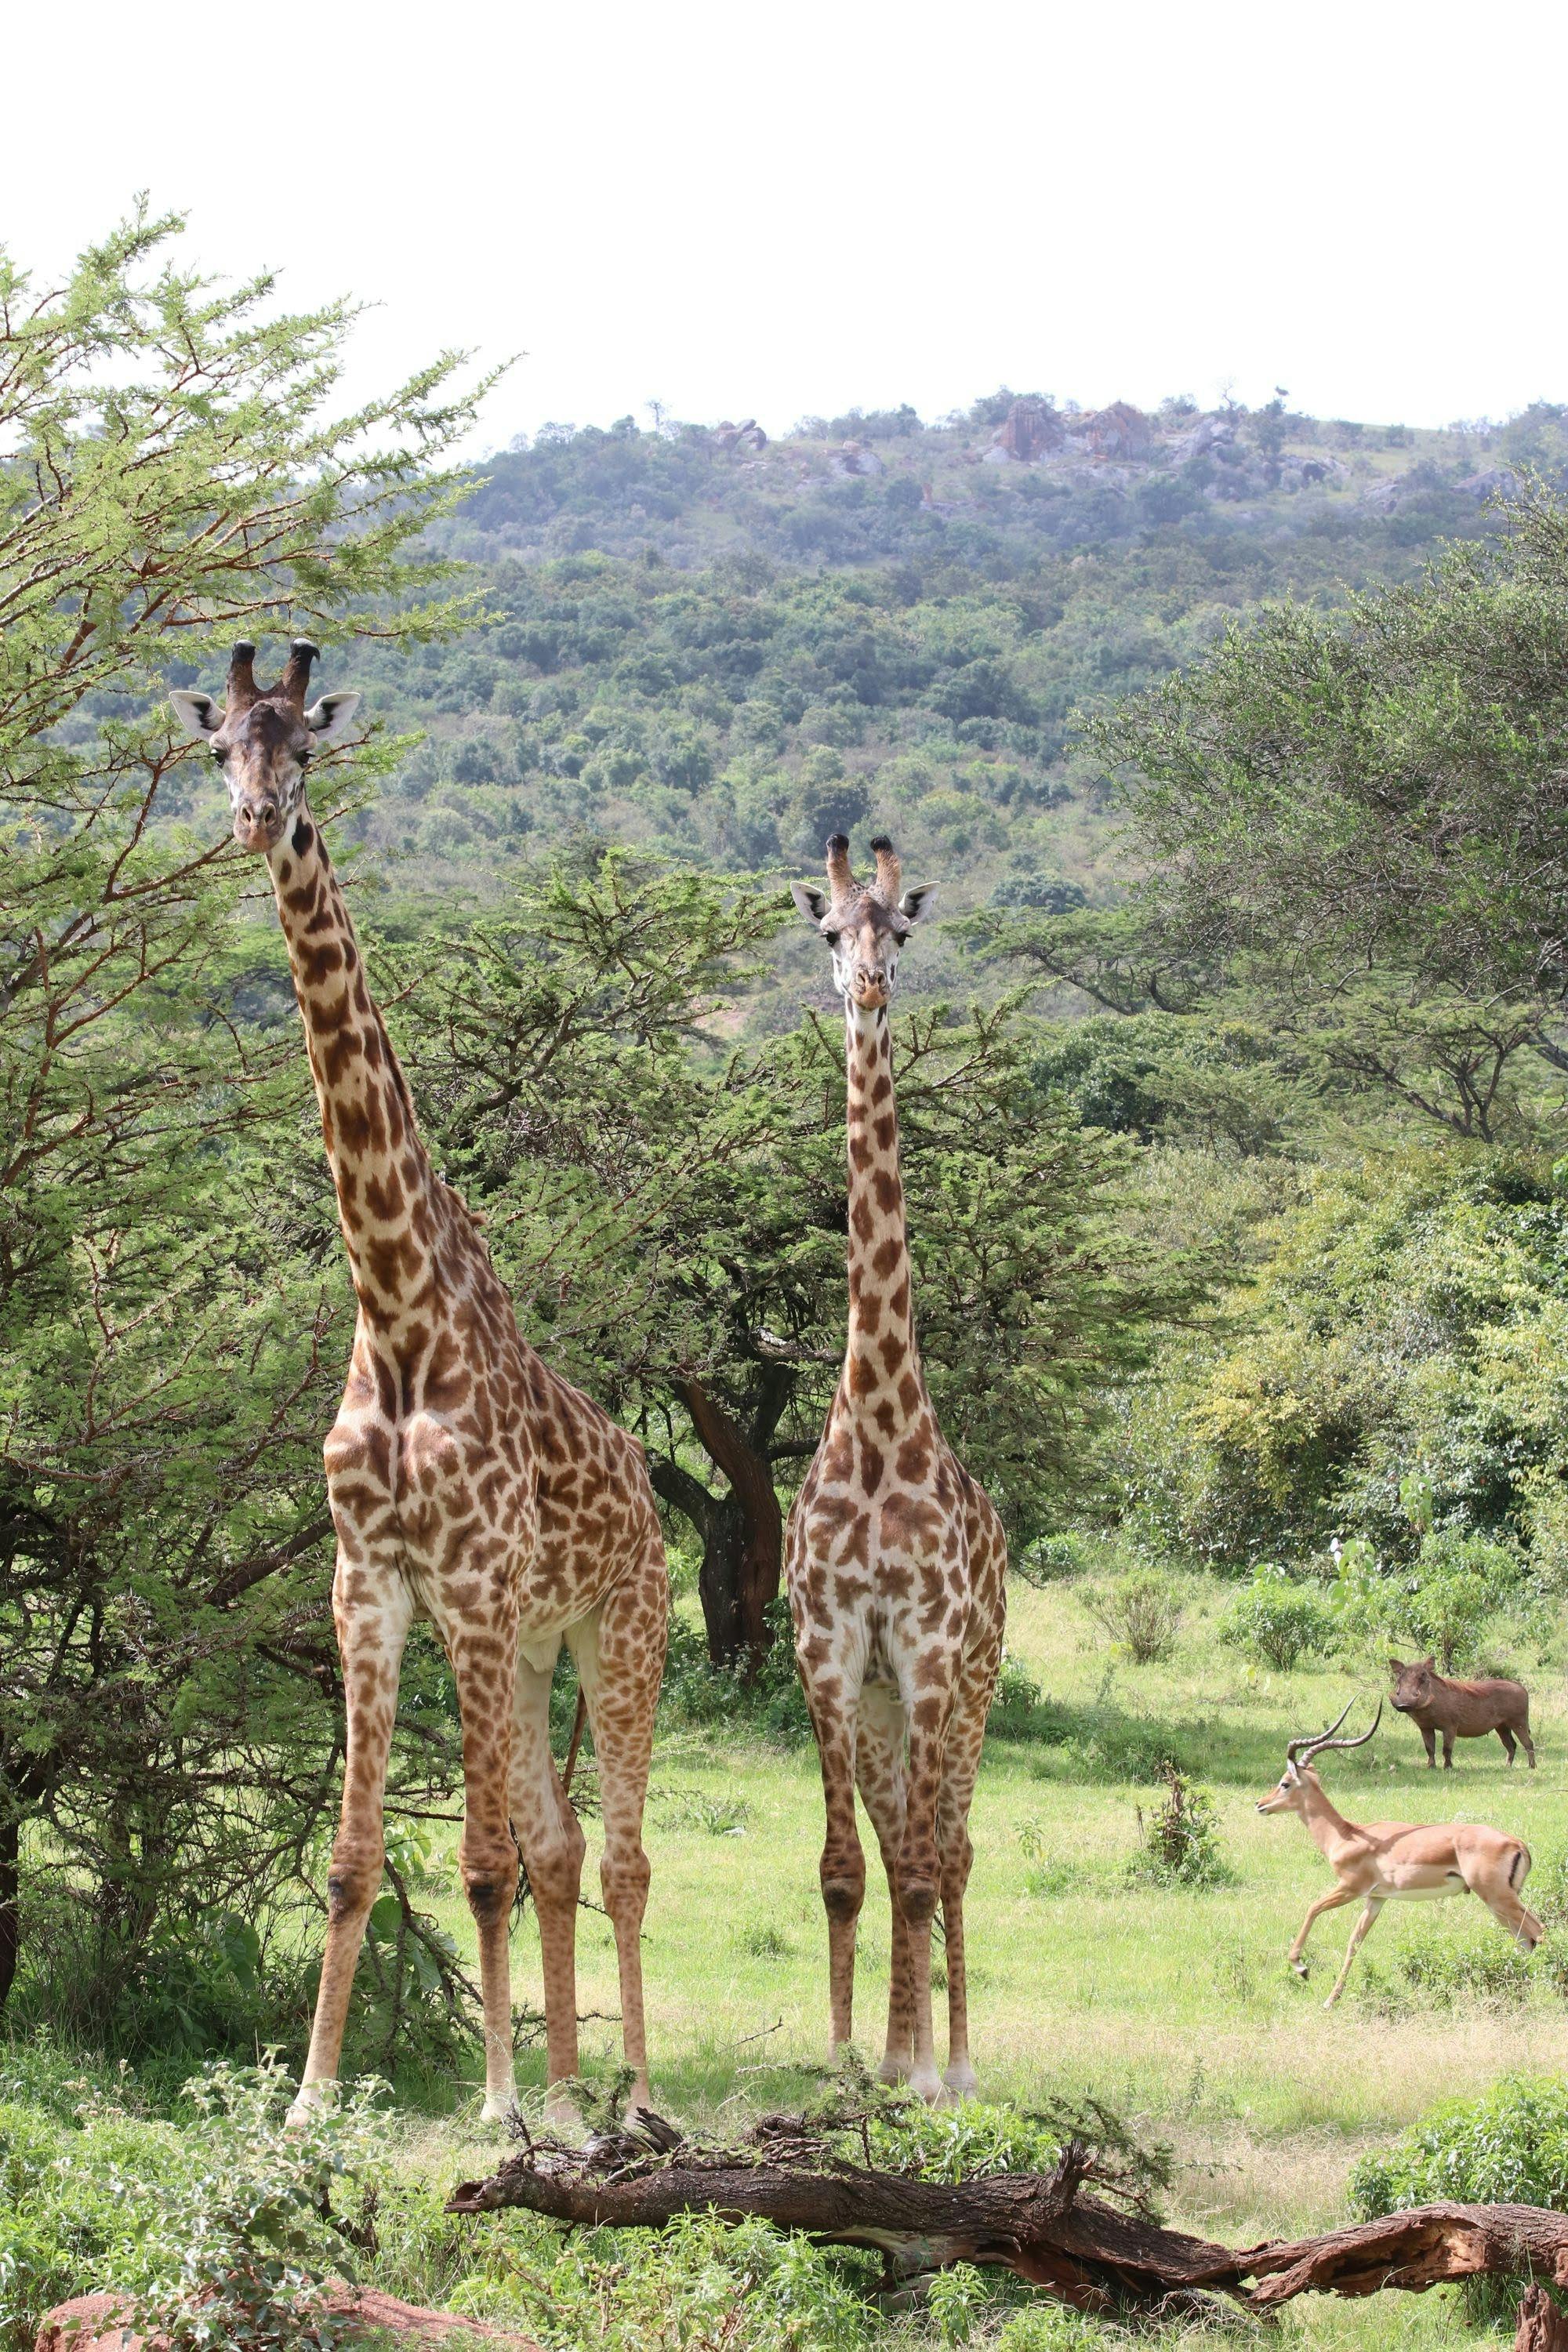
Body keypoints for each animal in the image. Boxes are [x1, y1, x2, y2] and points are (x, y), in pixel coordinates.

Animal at [171, 641, 667, 2124]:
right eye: (217, 745)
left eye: (305, 749)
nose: (256, 821)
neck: (393, 1308)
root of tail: (652, 1489)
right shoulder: (370, 1583)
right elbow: (352, 1863)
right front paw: (310, 2101)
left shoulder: (475, 1589)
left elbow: (481, 1864)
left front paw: (490, 2106)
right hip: (538, 1647)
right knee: (566, 1848)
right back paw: (568, 2100)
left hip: (619, 1630)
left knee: (619, 1857)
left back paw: (628, 2096)